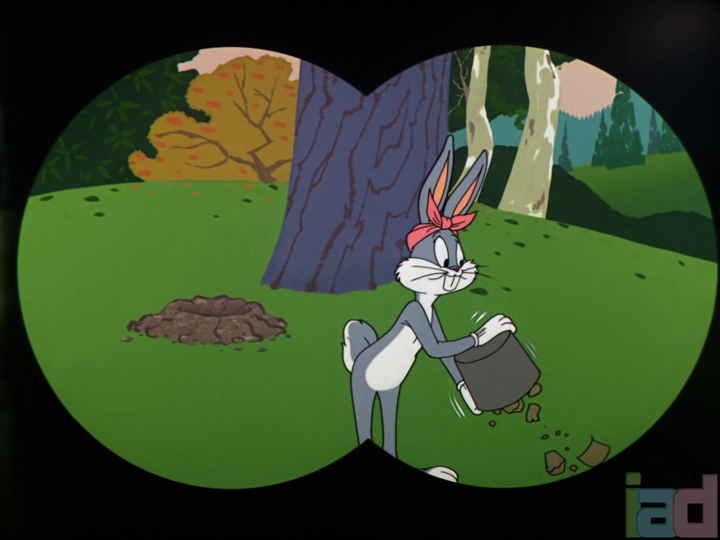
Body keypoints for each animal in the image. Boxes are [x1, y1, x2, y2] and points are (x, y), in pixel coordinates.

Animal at [341, 134, 517, 483]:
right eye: (443, 258)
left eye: (460, 256)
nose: (456, 271)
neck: (426, 301)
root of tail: (357, 362)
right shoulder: (415, 314)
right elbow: (438, 349)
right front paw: (493, 329)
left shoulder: (434, 318)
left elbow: (446, 355)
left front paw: (471, 400)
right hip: (363, 388)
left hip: (391, 390)